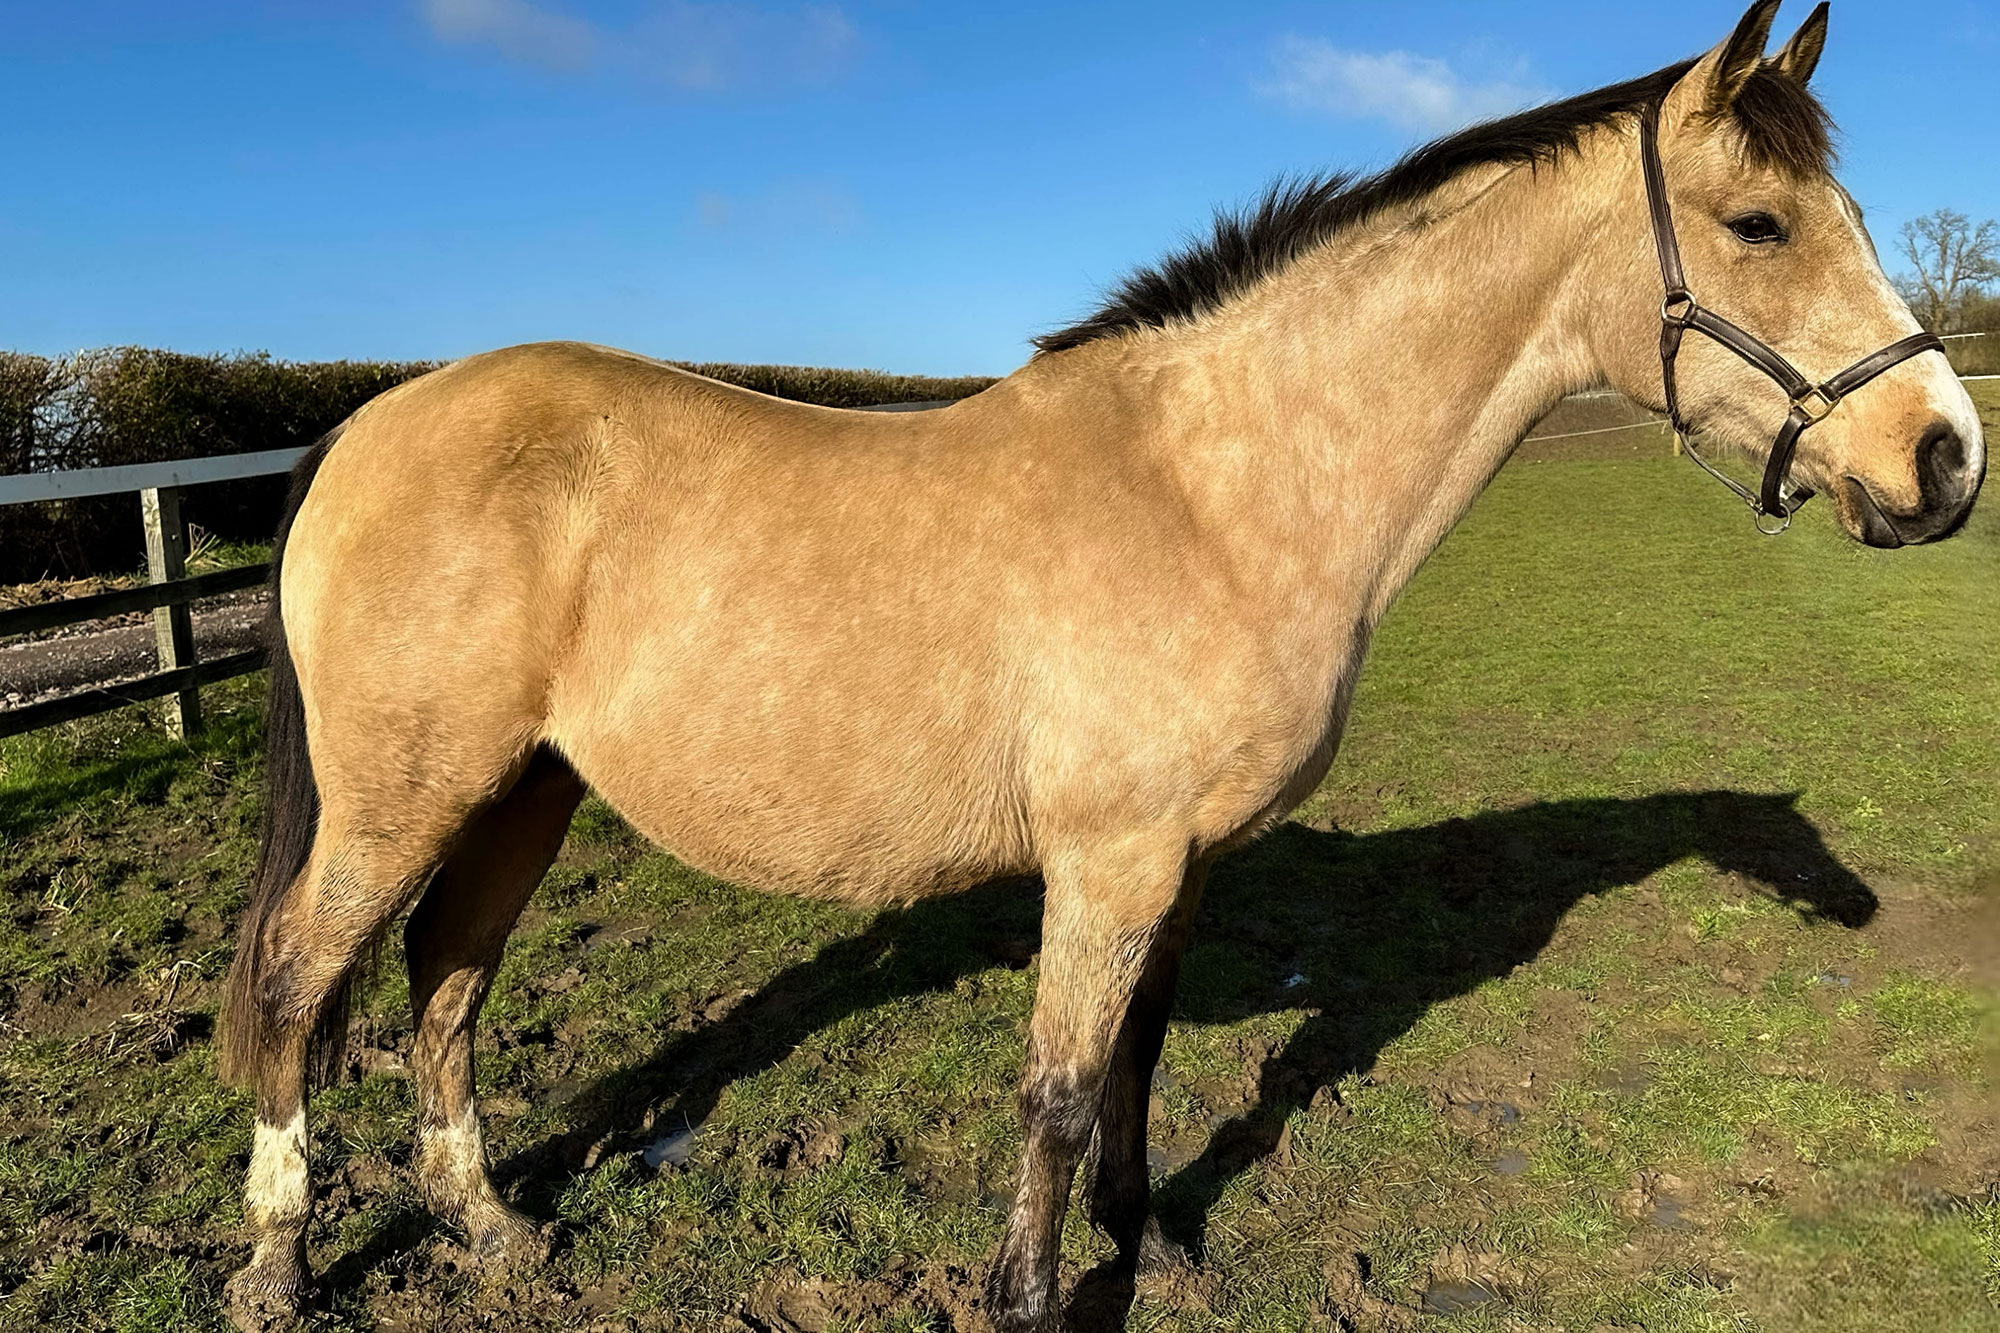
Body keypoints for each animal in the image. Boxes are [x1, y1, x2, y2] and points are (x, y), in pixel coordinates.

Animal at [217, 3, 1983, 1328]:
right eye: (1758, 223)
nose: (1946, 459)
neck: (1217, 487)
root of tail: (369, 421)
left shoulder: (1179, 861)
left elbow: (1137, 1052)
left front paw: (1152, 1245)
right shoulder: (1110, 860)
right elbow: (1059, 1092)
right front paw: (1029, 1293)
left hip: (522, 790)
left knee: (446, 980)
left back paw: (494, 1233)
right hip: (405, 796)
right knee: (302, 982)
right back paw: (279, 1266)